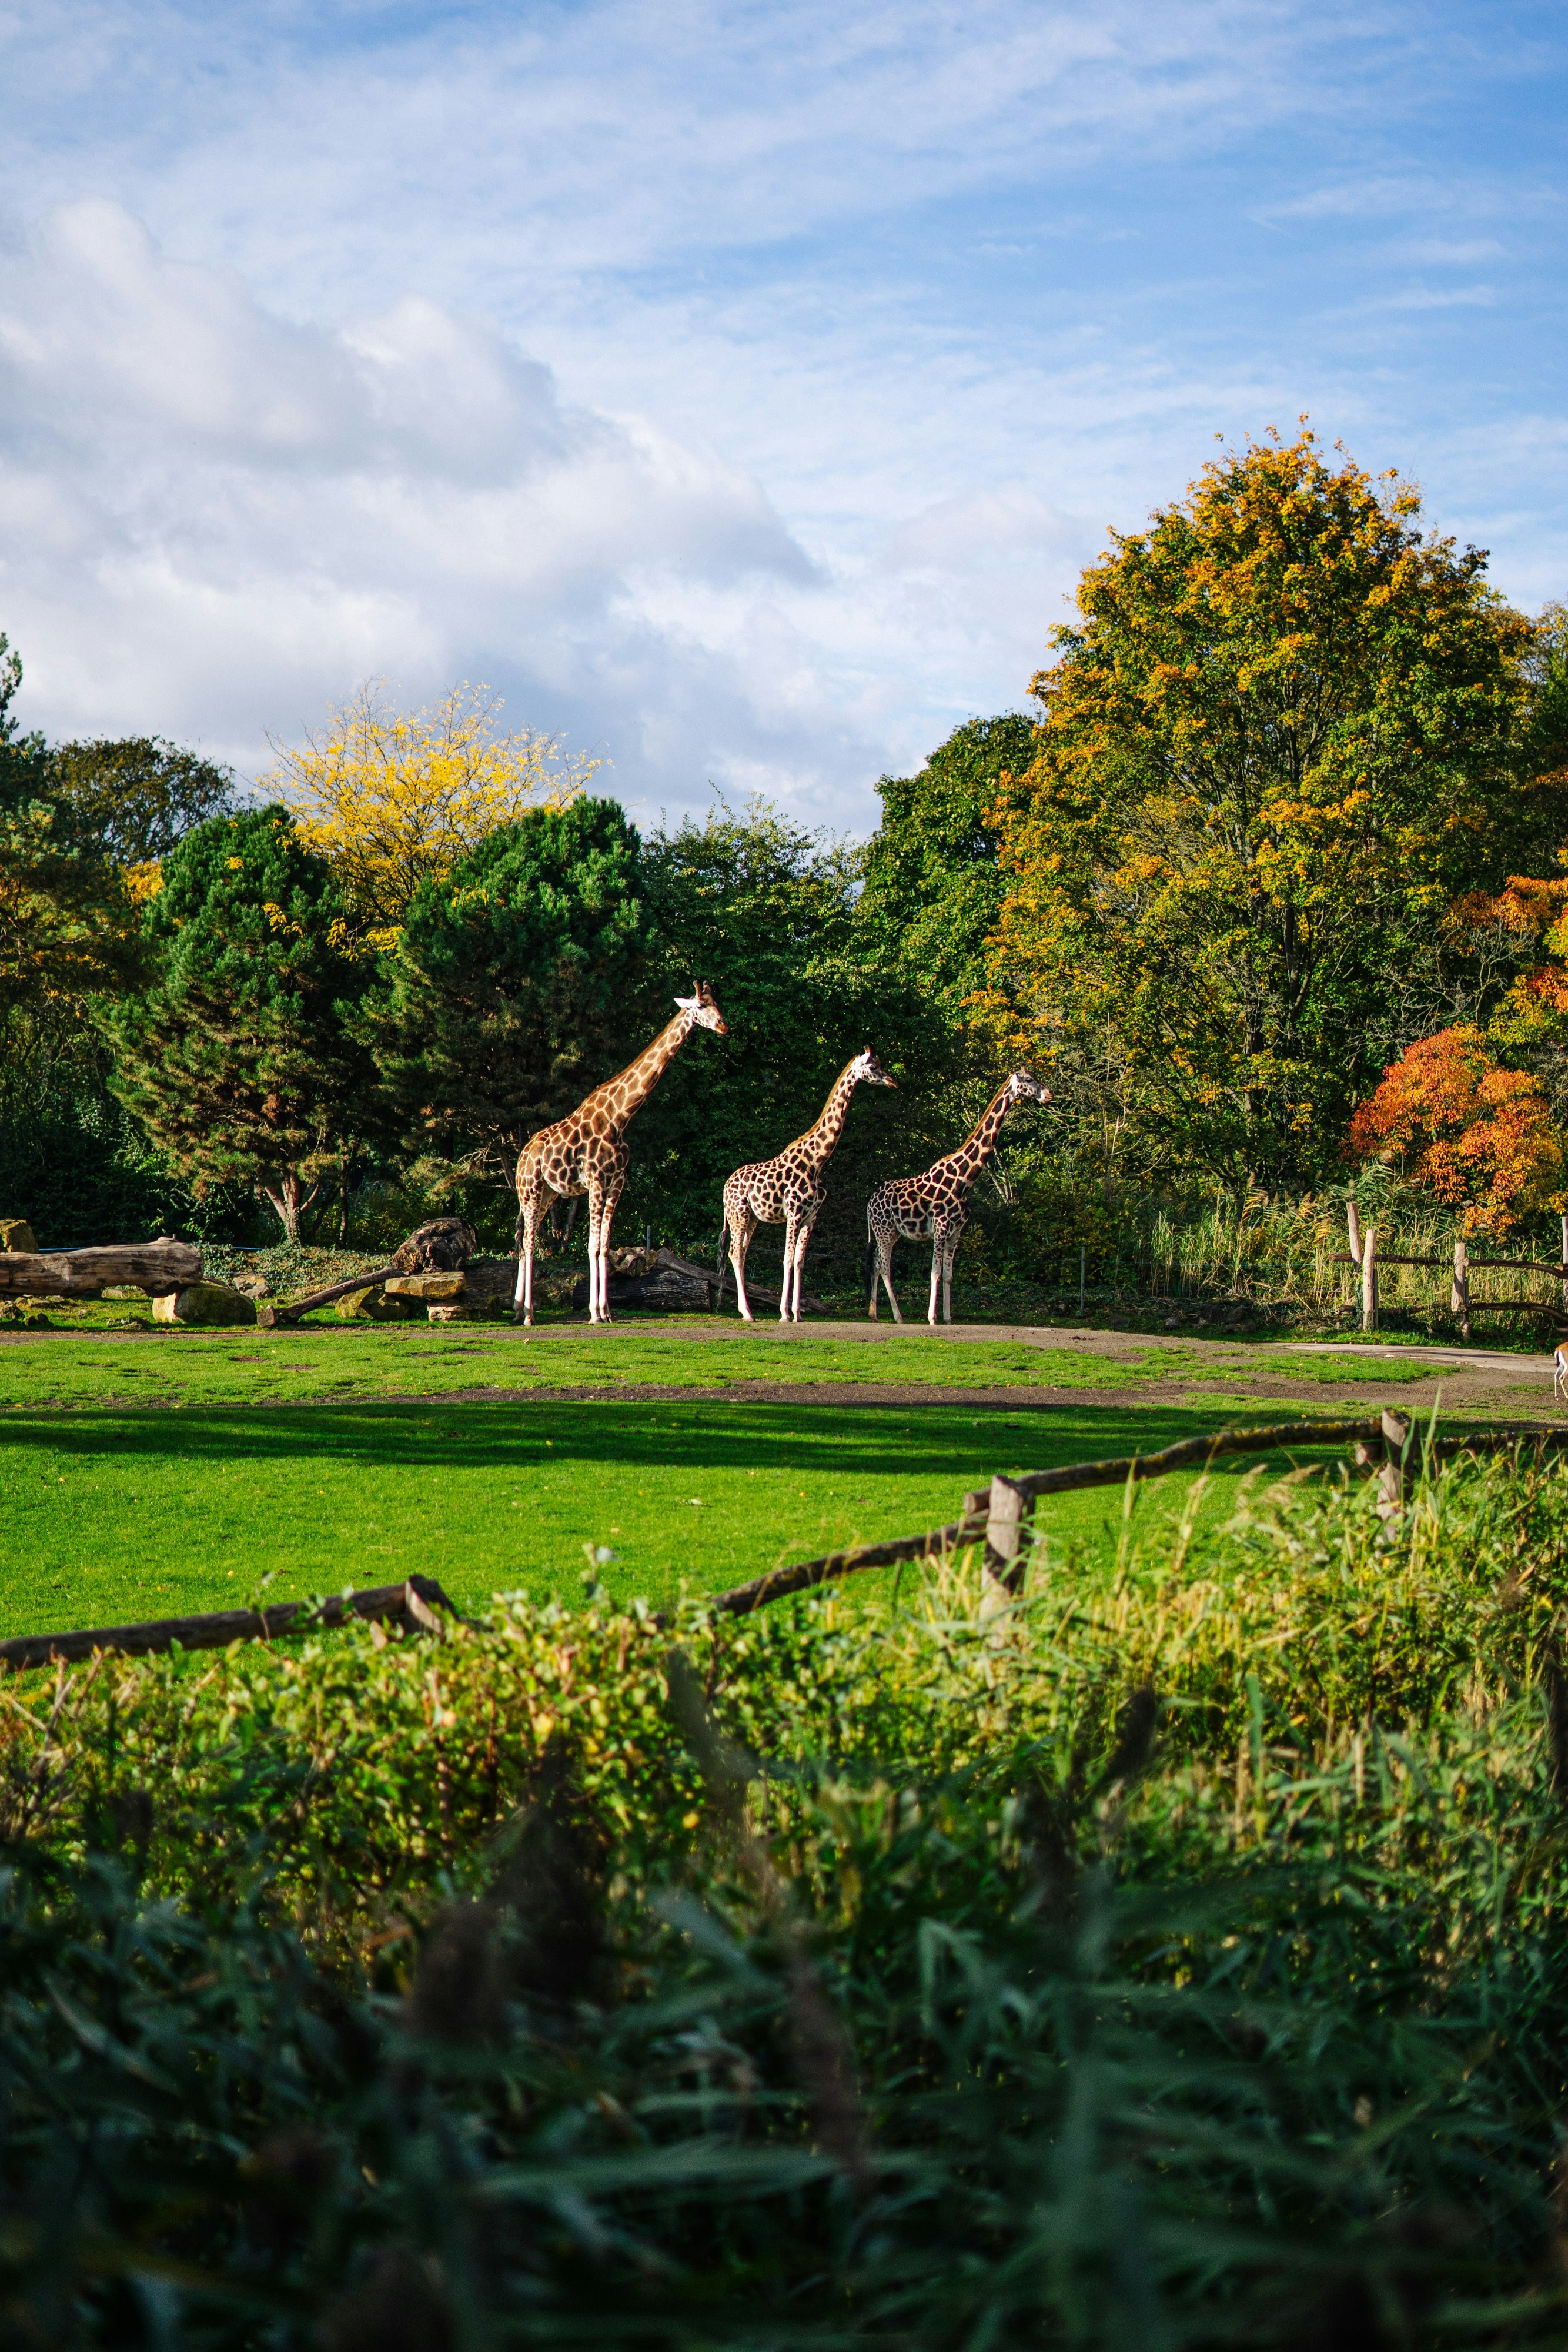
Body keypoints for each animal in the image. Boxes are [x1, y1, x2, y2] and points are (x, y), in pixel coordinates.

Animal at [512, 982, 727, 1326]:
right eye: (700, 1006)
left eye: (716, 1002)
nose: (723, 1026)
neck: (620, 1116)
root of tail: (522, 1156)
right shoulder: (596, 1182)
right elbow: (590, 1246)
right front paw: (593, 1313)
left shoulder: (617, 1184)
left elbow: (604, 1247)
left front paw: (606, 1311)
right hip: (530, 1189)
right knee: (531, 1244)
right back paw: (530, 1315)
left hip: (546, 1194)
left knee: (522, 1243)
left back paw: (519, 1309)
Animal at [720, 1049, 895, 1323]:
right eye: (873, 1067)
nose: (892, 1082)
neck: (817, 1160)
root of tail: (725, 1187)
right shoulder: (794, 1213)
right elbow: (787, 1260)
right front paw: (784, 1314)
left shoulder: (811, 1217)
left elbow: (800, 1262)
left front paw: (797, 1314)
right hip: (738, 1214)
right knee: (735, 1253)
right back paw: (747, 1313)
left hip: (752, 1218)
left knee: (741, 1254)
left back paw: (746, 1310)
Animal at [865, 1069, 1049, 1326]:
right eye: (1029, 1079)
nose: (1049, 1095)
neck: (964, 1181)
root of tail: (869, 1203)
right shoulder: (941, 1229)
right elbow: (935, 1273)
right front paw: (932, 1318)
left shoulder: (956, 1233)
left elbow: (949, 1276)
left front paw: (948, 1317)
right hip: (885, 1231)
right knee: (884, 1266)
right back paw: (898, 1316)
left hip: (892, 1233)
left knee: (875, 1263)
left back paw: (874, 1314)